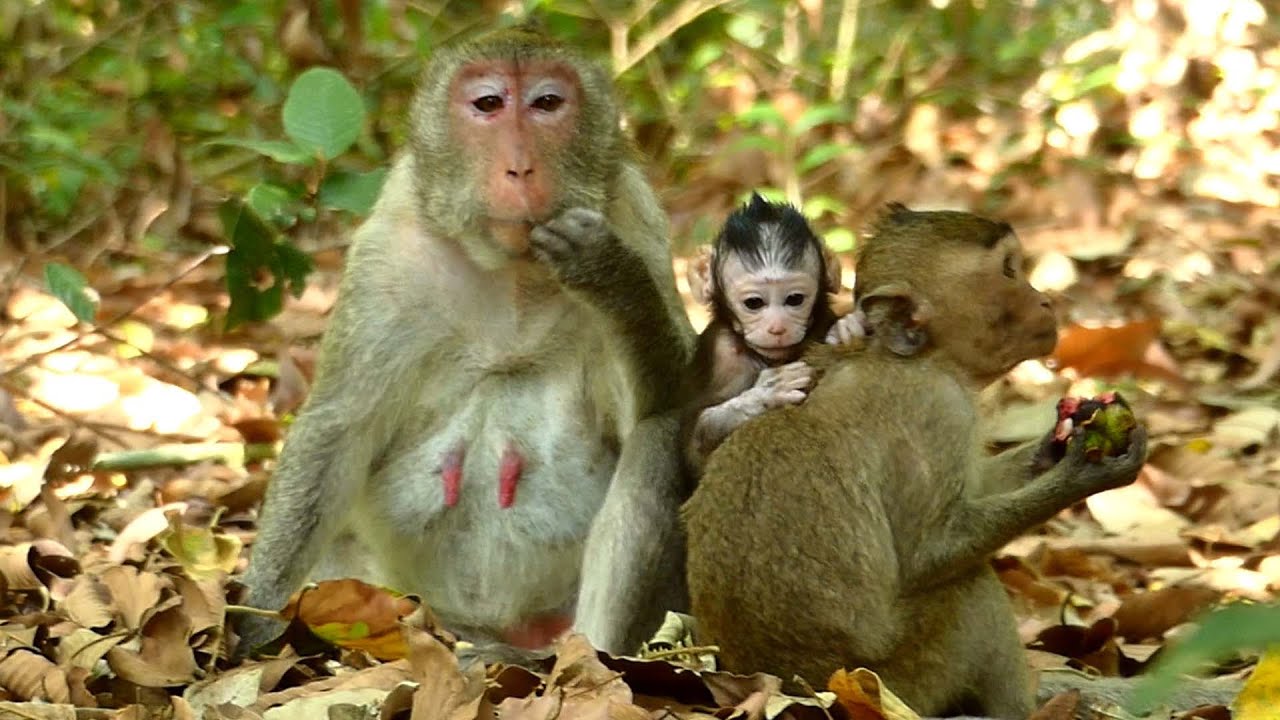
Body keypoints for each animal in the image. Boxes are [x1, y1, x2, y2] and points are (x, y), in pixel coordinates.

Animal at [235, 25, 697, 661]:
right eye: (488, 104)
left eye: (547, 103)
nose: (521, 169)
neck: (513, 271)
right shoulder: (388, 247)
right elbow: (337, 428)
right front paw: (250, 625)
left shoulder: (639, 219)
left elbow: (678, 403)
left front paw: (611, 275)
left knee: (656, 440)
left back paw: (586, 656)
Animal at [680, 193, 866, 476]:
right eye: (754, 303)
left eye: (794, 299)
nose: (778, 328)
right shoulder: (722, 355)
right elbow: (694, 448)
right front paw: (763, 395)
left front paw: (847, 326)